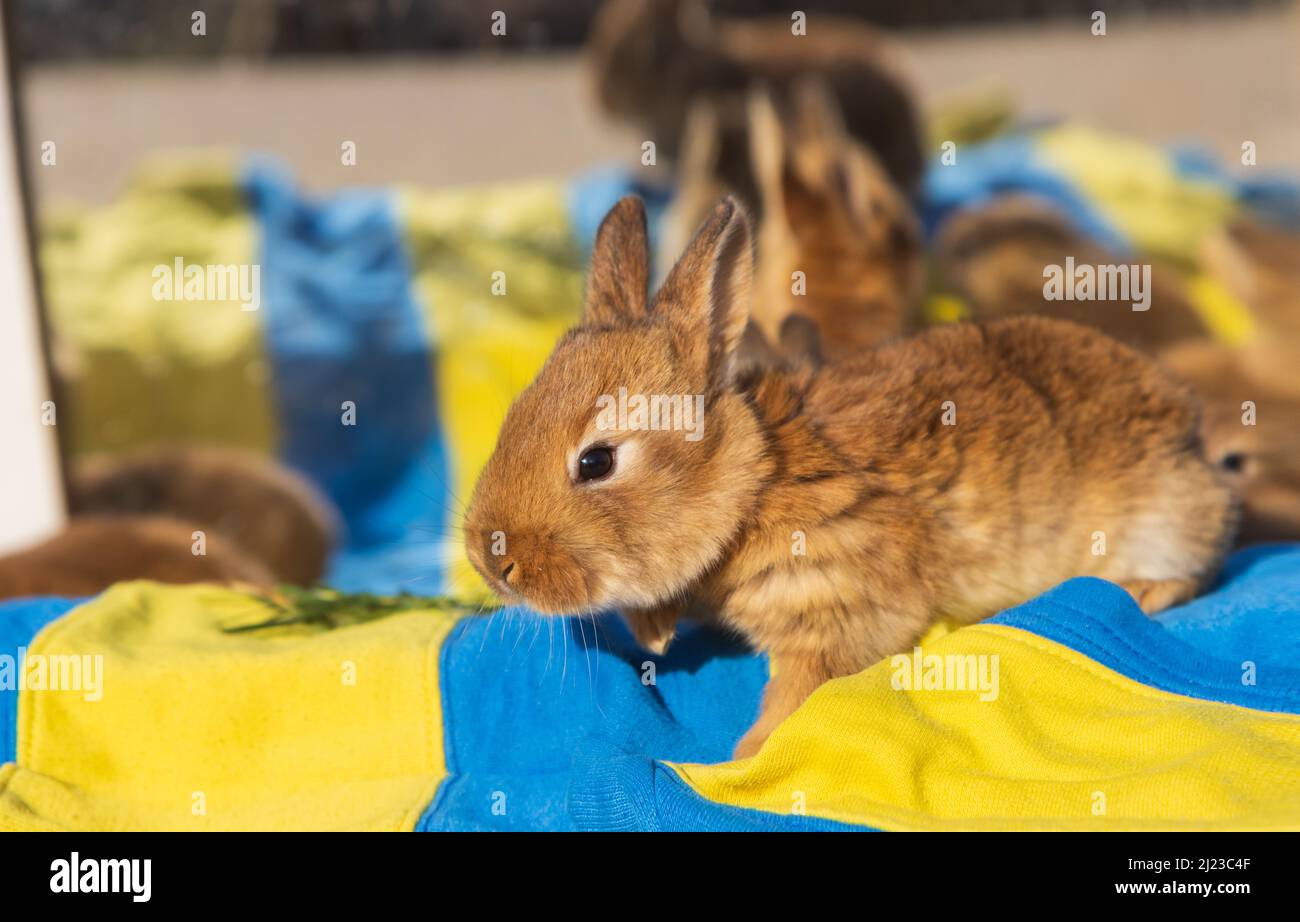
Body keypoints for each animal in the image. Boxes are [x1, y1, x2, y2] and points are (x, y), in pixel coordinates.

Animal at [464, 196, 1237, 758]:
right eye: (513, 415)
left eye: (596, 461)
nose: (490, 561)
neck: (757, 479)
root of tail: (1193, 435)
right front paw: (654, 634)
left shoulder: (836, 599)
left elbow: (802, 686)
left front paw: (744, 758)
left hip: (1161, 517)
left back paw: (1136, 588)